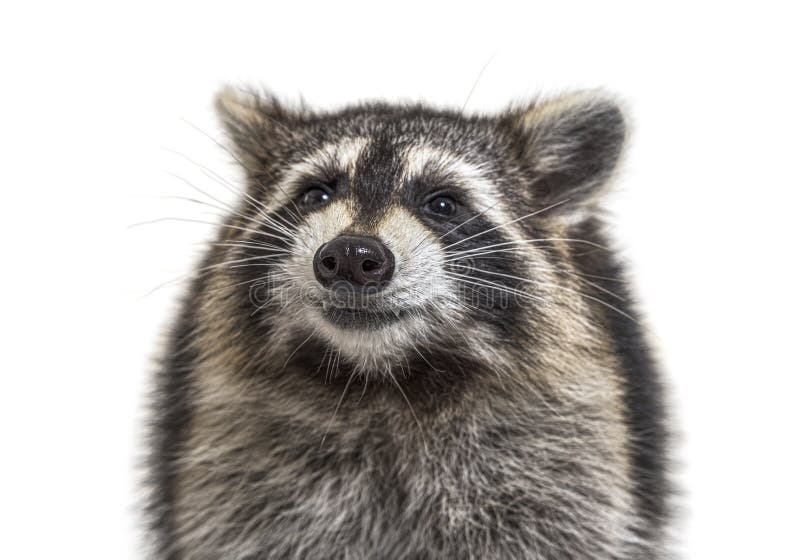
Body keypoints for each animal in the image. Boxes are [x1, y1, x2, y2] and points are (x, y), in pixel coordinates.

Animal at [147, 87, 670, 559]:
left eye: (442, 204)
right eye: (316, 193)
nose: (351, 256)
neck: (384, 377)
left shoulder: (561, 458)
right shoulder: (241, 466)